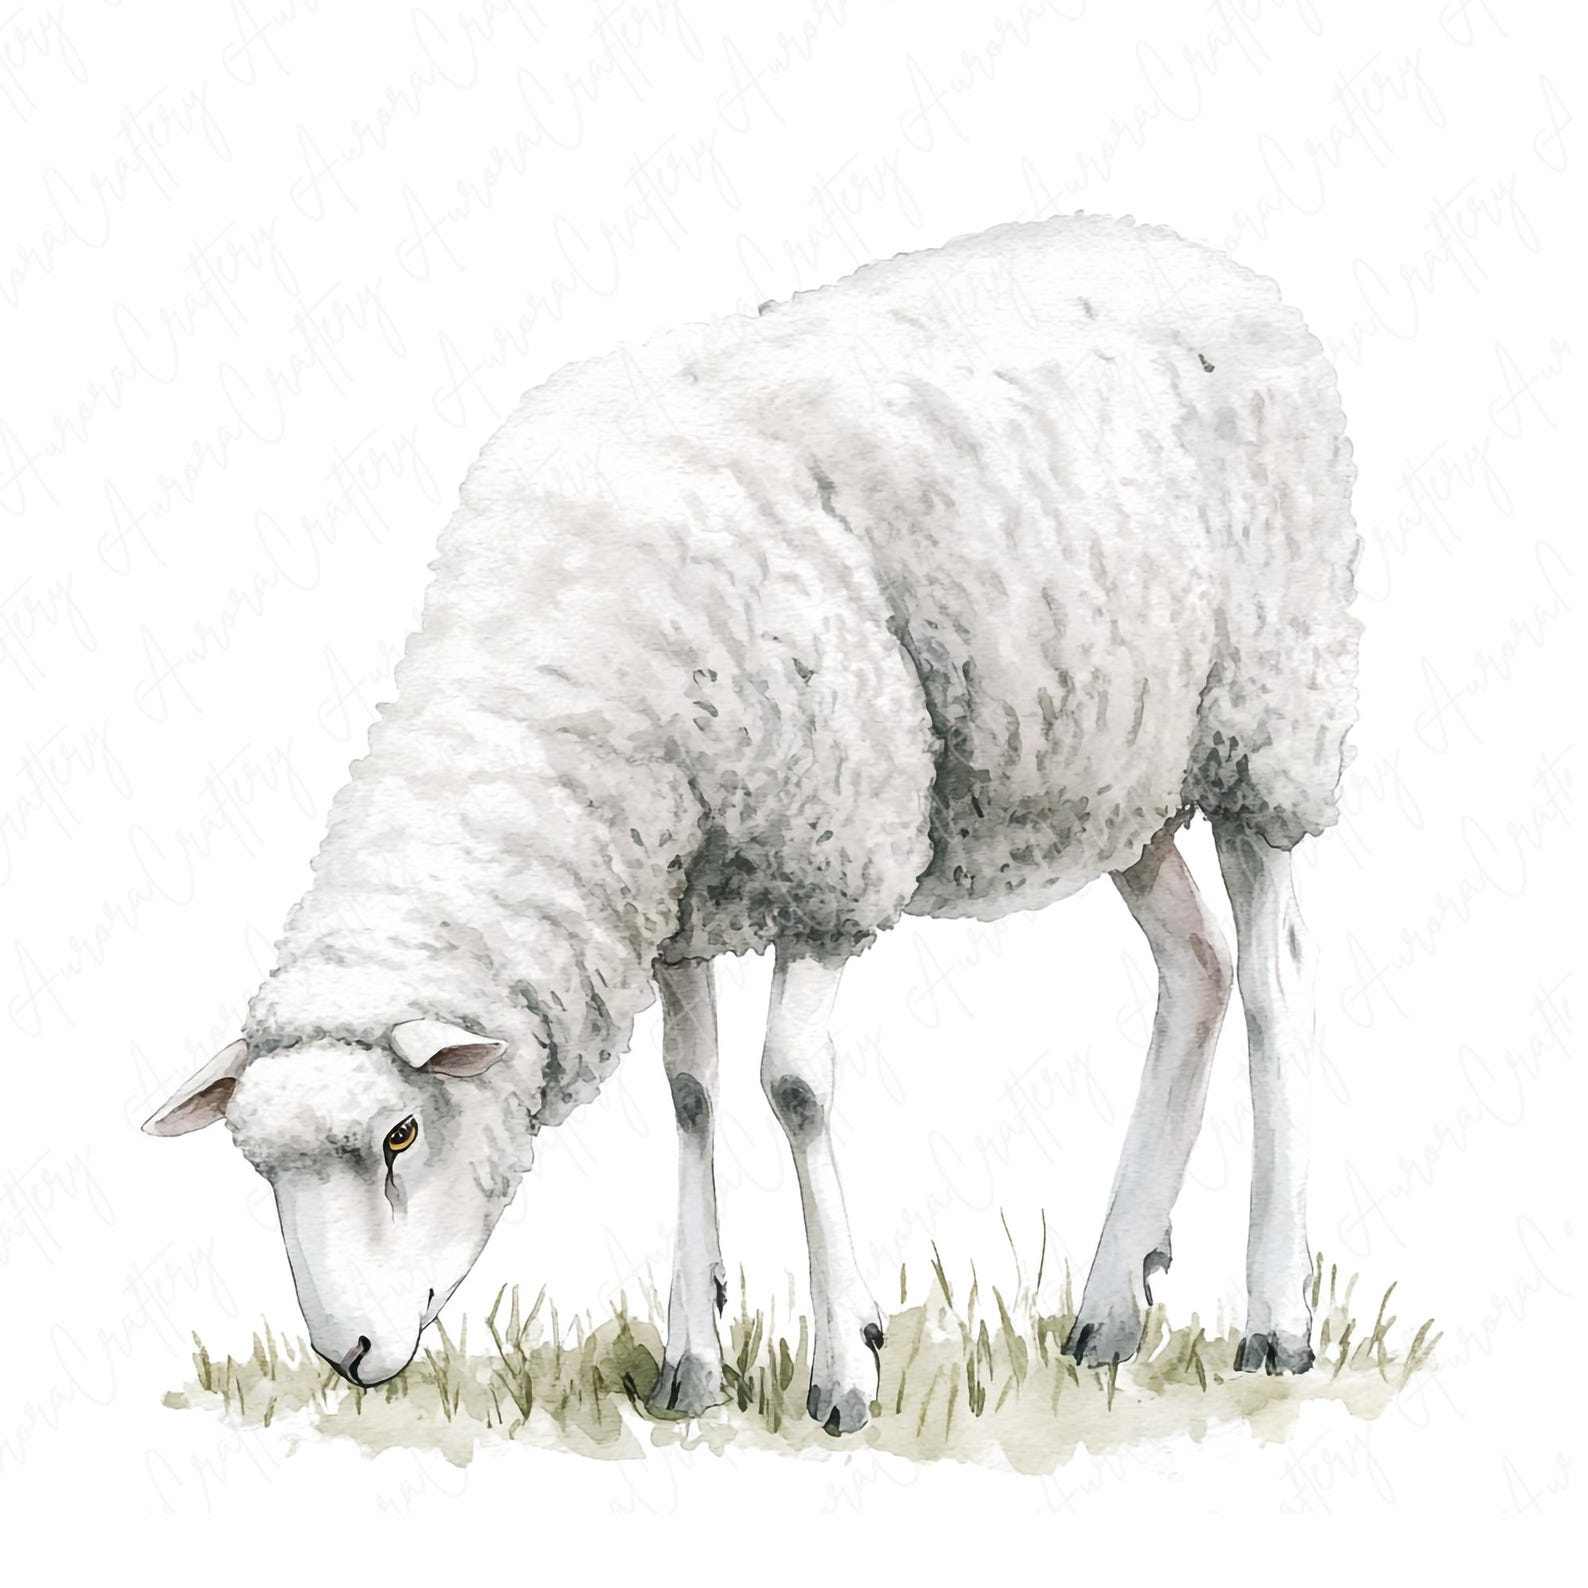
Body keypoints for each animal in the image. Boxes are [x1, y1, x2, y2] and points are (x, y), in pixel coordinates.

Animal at [145, 212, 1360, 1432]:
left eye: (400, 1134)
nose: (347, 1353)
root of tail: (1197, 256)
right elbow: (689, 1093)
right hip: (1117, 765)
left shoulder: (830, 847)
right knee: (1196, 969)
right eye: (261, 1168)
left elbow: (792, 1085)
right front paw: (691, 1363)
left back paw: (1276, 1318)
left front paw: (845, 1365)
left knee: (1274, 982)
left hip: (1267, 722)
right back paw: (1108, 1309)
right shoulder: (674, 884)